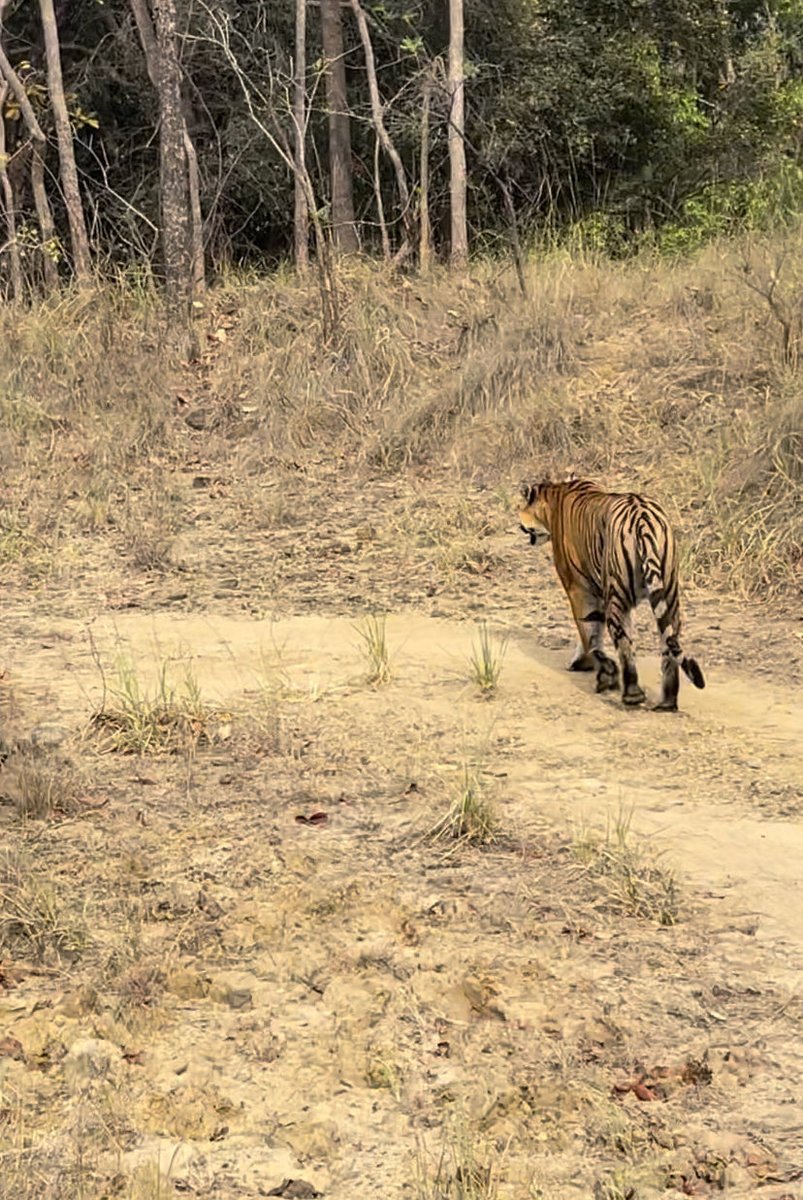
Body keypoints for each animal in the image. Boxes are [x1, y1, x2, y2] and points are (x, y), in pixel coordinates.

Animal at [518, 478, 705, 711]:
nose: (520, 525)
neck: (555, 494)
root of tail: (642, 518)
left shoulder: (578, 587)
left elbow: (589, 632)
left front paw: (596, 670)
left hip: (616, 595)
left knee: (622, 642)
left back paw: (632, 694)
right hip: (669, 594)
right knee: (668, 642)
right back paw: (667, 702)